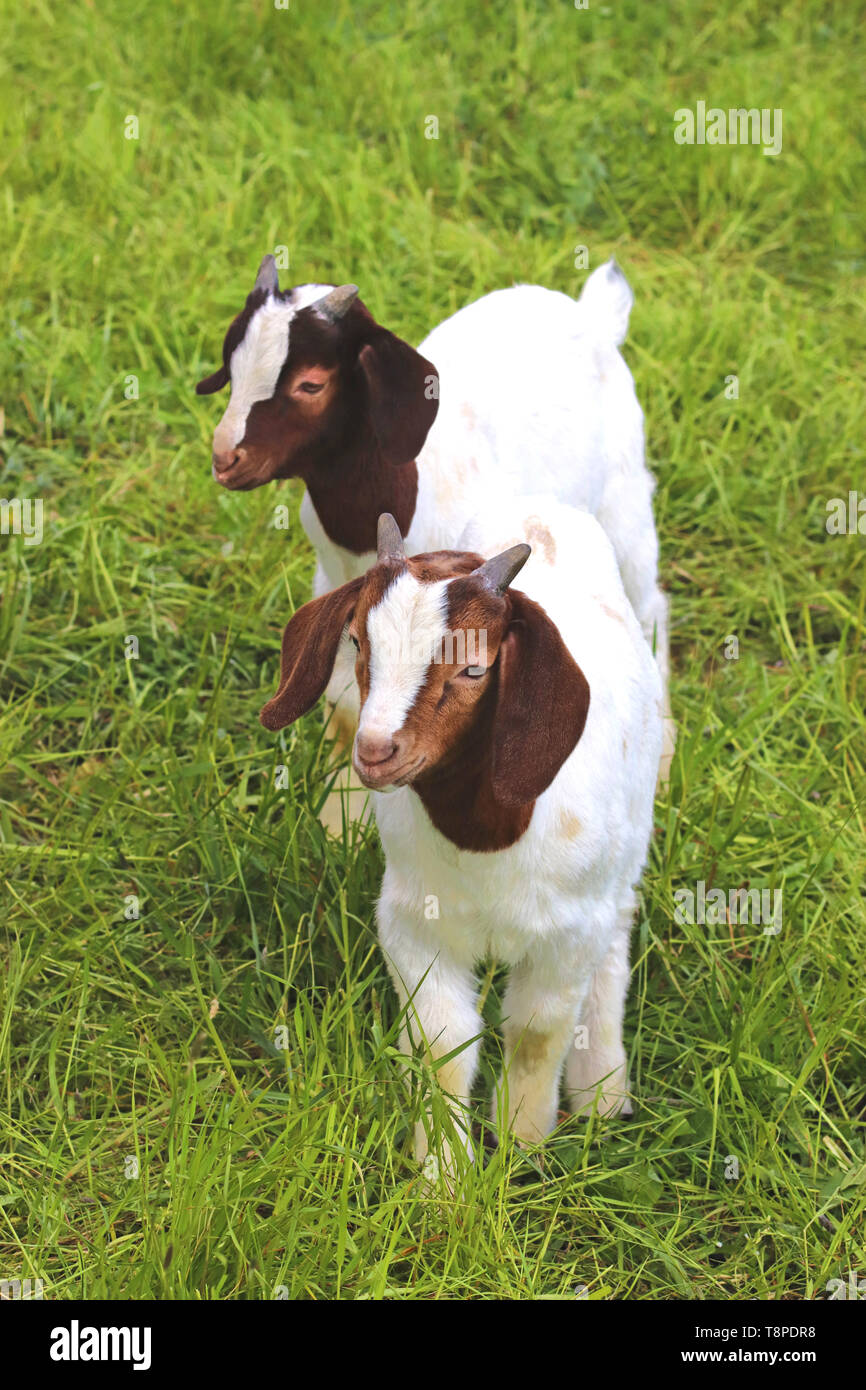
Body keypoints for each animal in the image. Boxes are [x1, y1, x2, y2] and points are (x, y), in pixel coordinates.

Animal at [197, 256, 674, 815]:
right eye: (232, 368)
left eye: (311, 384)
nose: (224, 458)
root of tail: (593, 314)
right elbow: (344, 703)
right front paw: (341, 814)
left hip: (625, 496)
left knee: (648, 604)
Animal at [259, 502, 662, 1164]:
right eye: (358, 640)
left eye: (475, 666)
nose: (376, 751)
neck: (486, 841)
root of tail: (545, 509)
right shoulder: (414, 923)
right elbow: (443, 1044)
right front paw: (441, 1173)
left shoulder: (568, 932)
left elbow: (535, 1031)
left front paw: (523, 1145)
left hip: (623, 861)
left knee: (616, 936)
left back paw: (603, 1090)